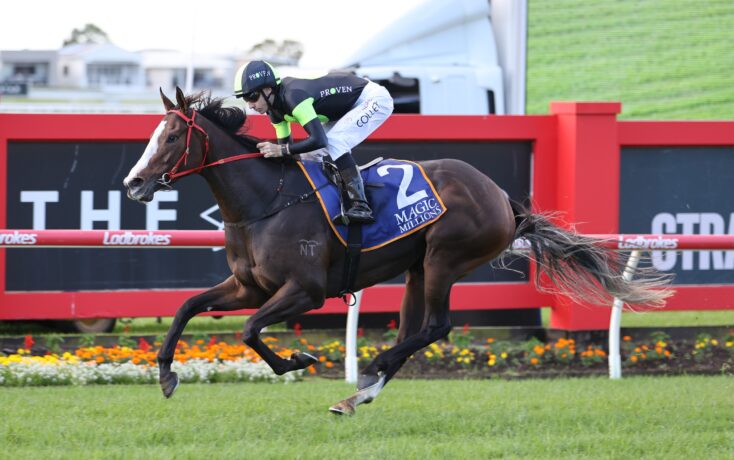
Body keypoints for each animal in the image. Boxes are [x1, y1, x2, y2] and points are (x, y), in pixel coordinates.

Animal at [123, 87, 671, 415]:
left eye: (173, 135)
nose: (134, 184)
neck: (265, 202)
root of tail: (500, 196)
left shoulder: (305, 290)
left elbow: (250, 329)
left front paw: (297, 359)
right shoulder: (247, 286)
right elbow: (187, 307)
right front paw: (167, 375)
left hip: (444, 259)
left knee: (435, 327)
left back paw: (371, 369)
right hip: (415, 268)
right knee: (414, 331)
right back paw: (359, 392)